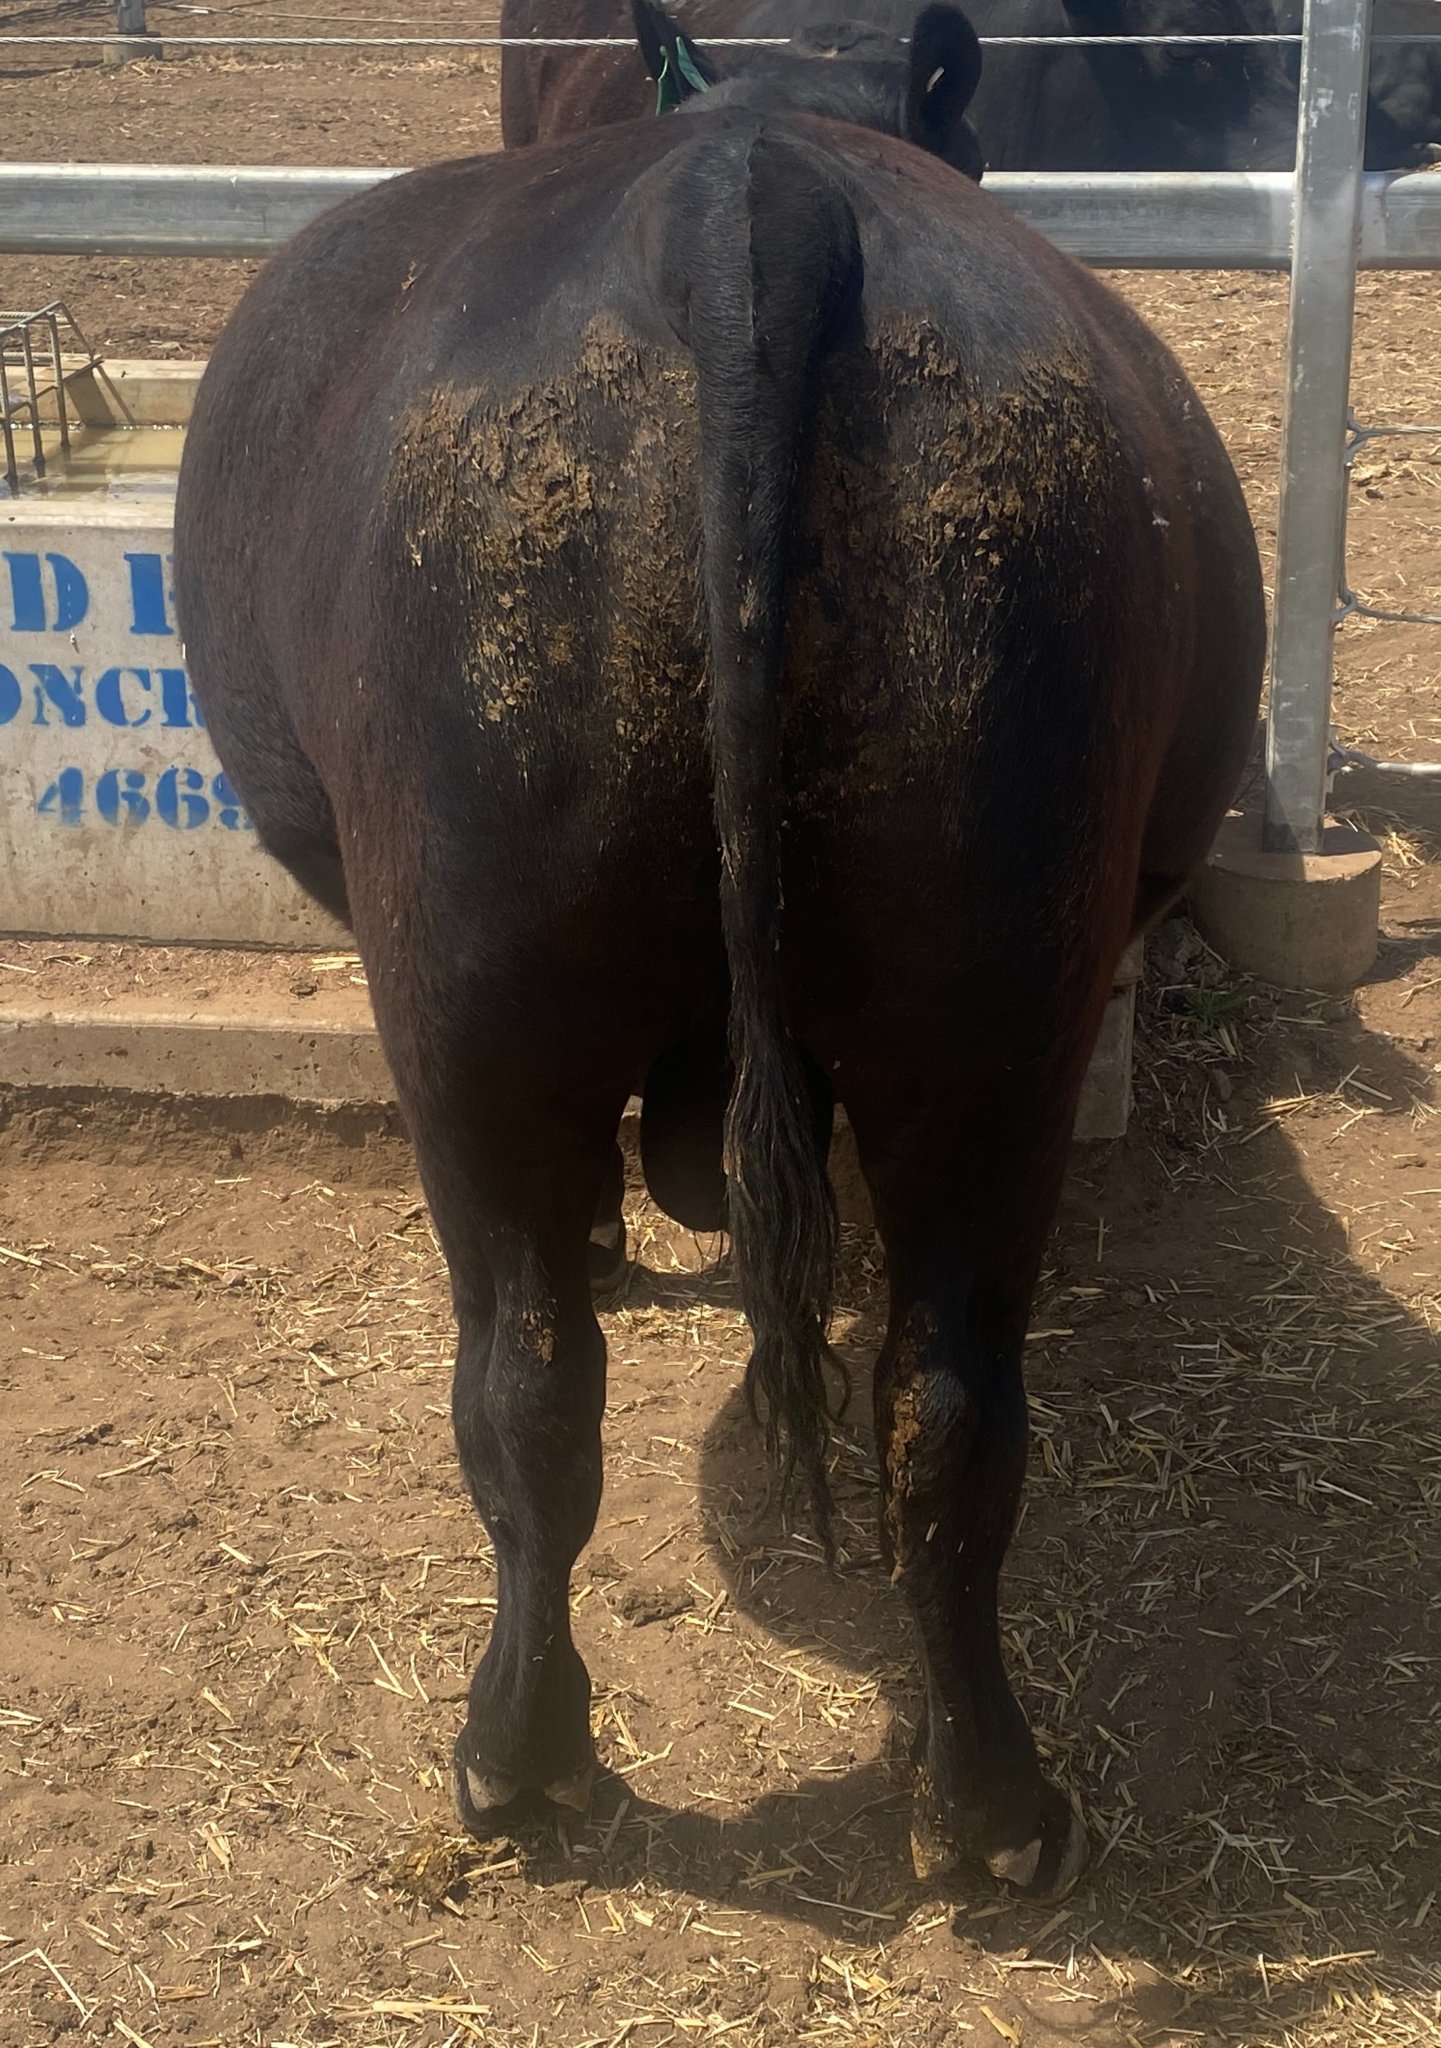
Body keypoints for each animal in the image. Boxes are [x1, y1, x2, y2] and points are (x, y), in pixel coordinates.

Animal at [174, 0, 1264, 1903]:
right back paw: (988, 1811)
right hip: (977, 1013)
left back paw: (518, 1757)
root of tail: (751, 198)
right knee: (935, 1402)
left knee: (526, 1376)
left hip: (467, 1010)